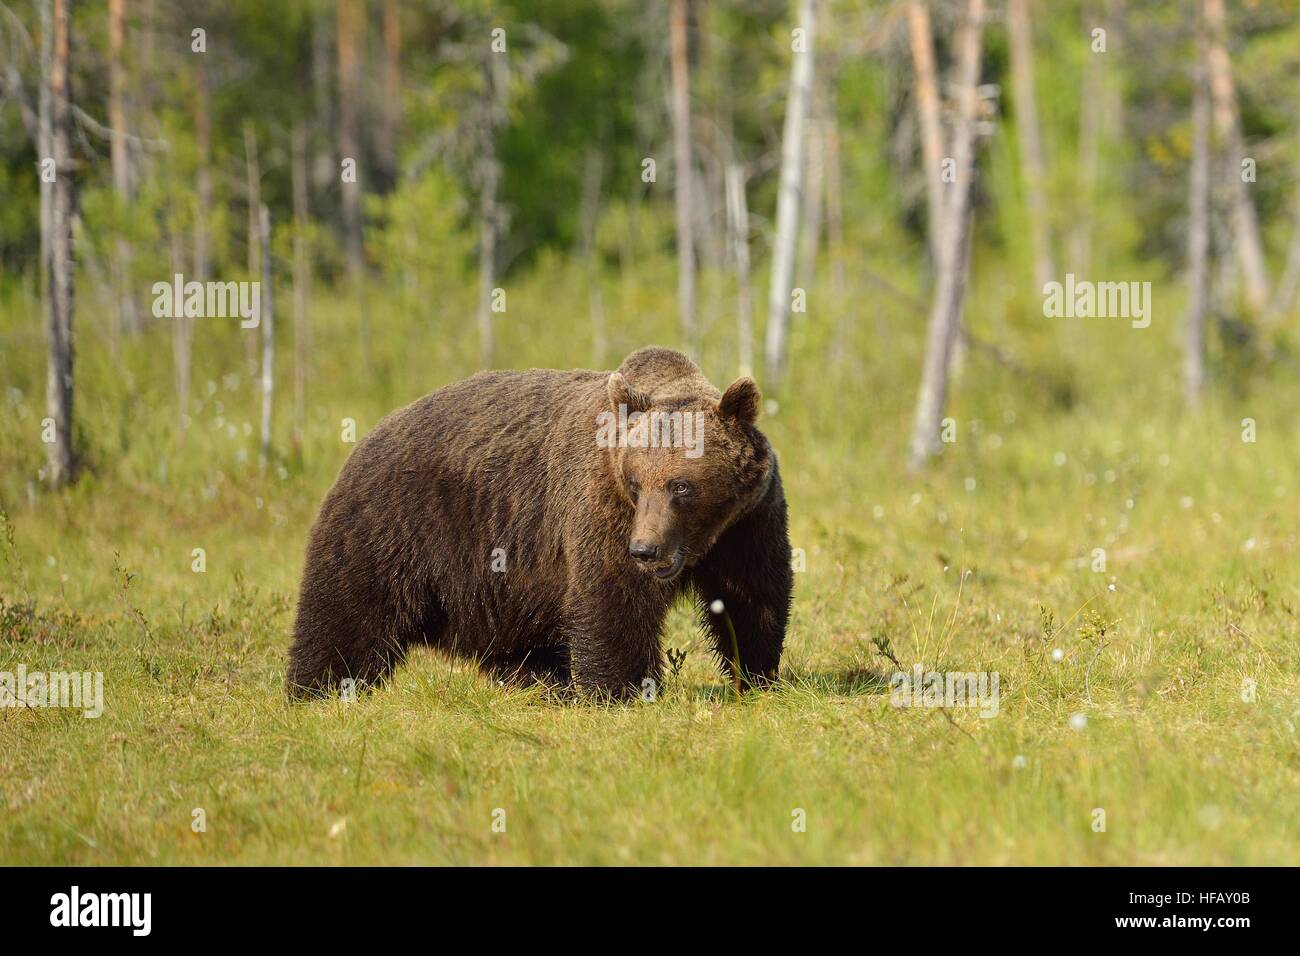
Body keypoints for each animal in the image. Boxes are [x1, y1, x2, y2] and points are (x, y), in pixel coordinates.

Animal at [285, 346, 792, 700]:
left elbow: (754, 597)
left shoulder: (749, 522)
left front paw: (756, 675)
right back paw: (318, 689)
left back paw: (545, 681)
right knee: (346, 614)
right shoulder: (602, 510)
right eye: (635, 481)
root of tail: (364, 439)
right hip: (395, 527)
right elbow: (613, 600)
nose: (646, 550)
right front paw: (625, 690)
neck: (702, 537)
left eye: (681, 486)